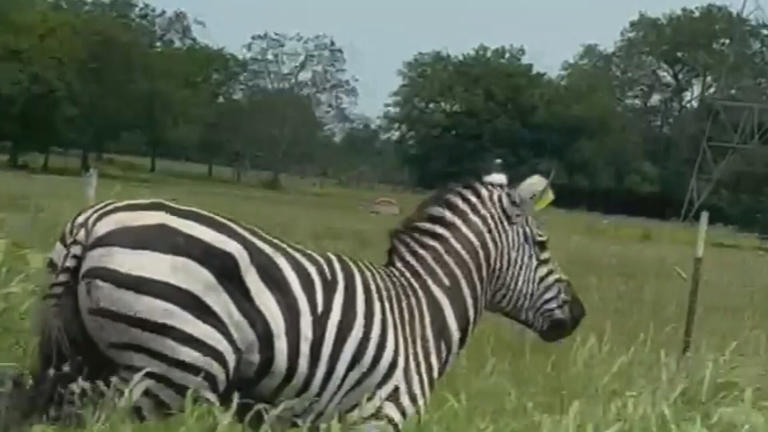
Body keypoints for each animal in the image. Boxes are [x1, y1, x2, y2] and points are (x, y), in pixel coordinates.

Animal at [5, 170, 585, 431]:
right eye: (542, 244)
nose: (578, 316)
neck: (423, 307)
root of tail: (94, 218)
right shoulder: (379, 416)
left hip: (82, 361)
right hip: (169, 370)